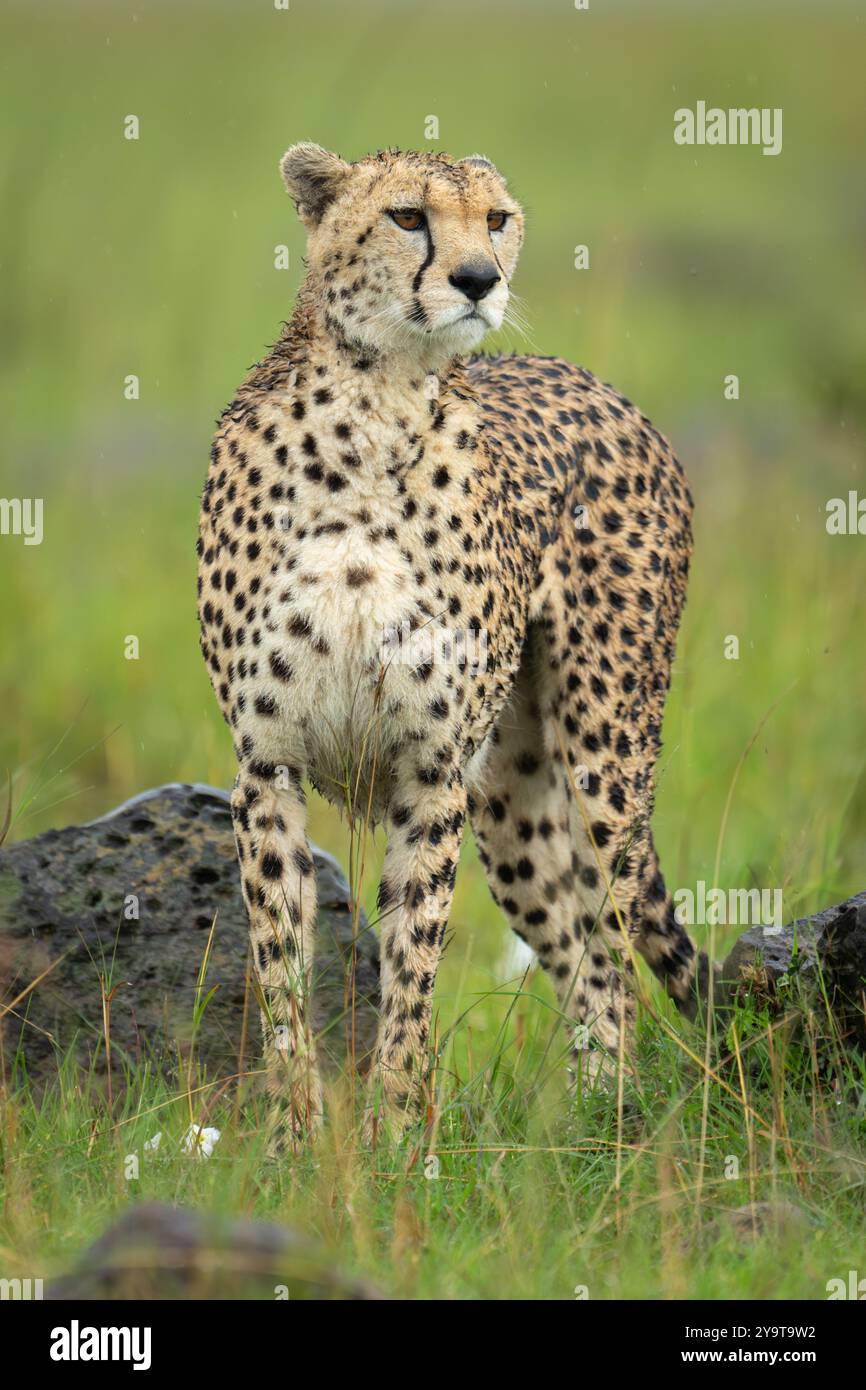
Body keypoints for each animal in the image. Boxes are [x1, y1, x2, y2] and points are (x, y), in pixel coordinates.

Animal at [197, 143, 713, 1148]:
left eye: (498, 219)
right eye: (408, 217)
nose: (479, 279)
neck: (375, 409)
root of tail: (599, 383)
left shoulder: (432, 770)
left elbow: (412, 960)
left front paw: (399, 1136)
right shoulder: (266, 765)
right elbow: (279, 961)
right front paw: (294, 1139)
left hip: (604, 766)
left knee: (616, 945)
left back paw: (608, 1136)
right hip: (513, 802)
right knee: (586, 956)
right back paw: (590, 1122)